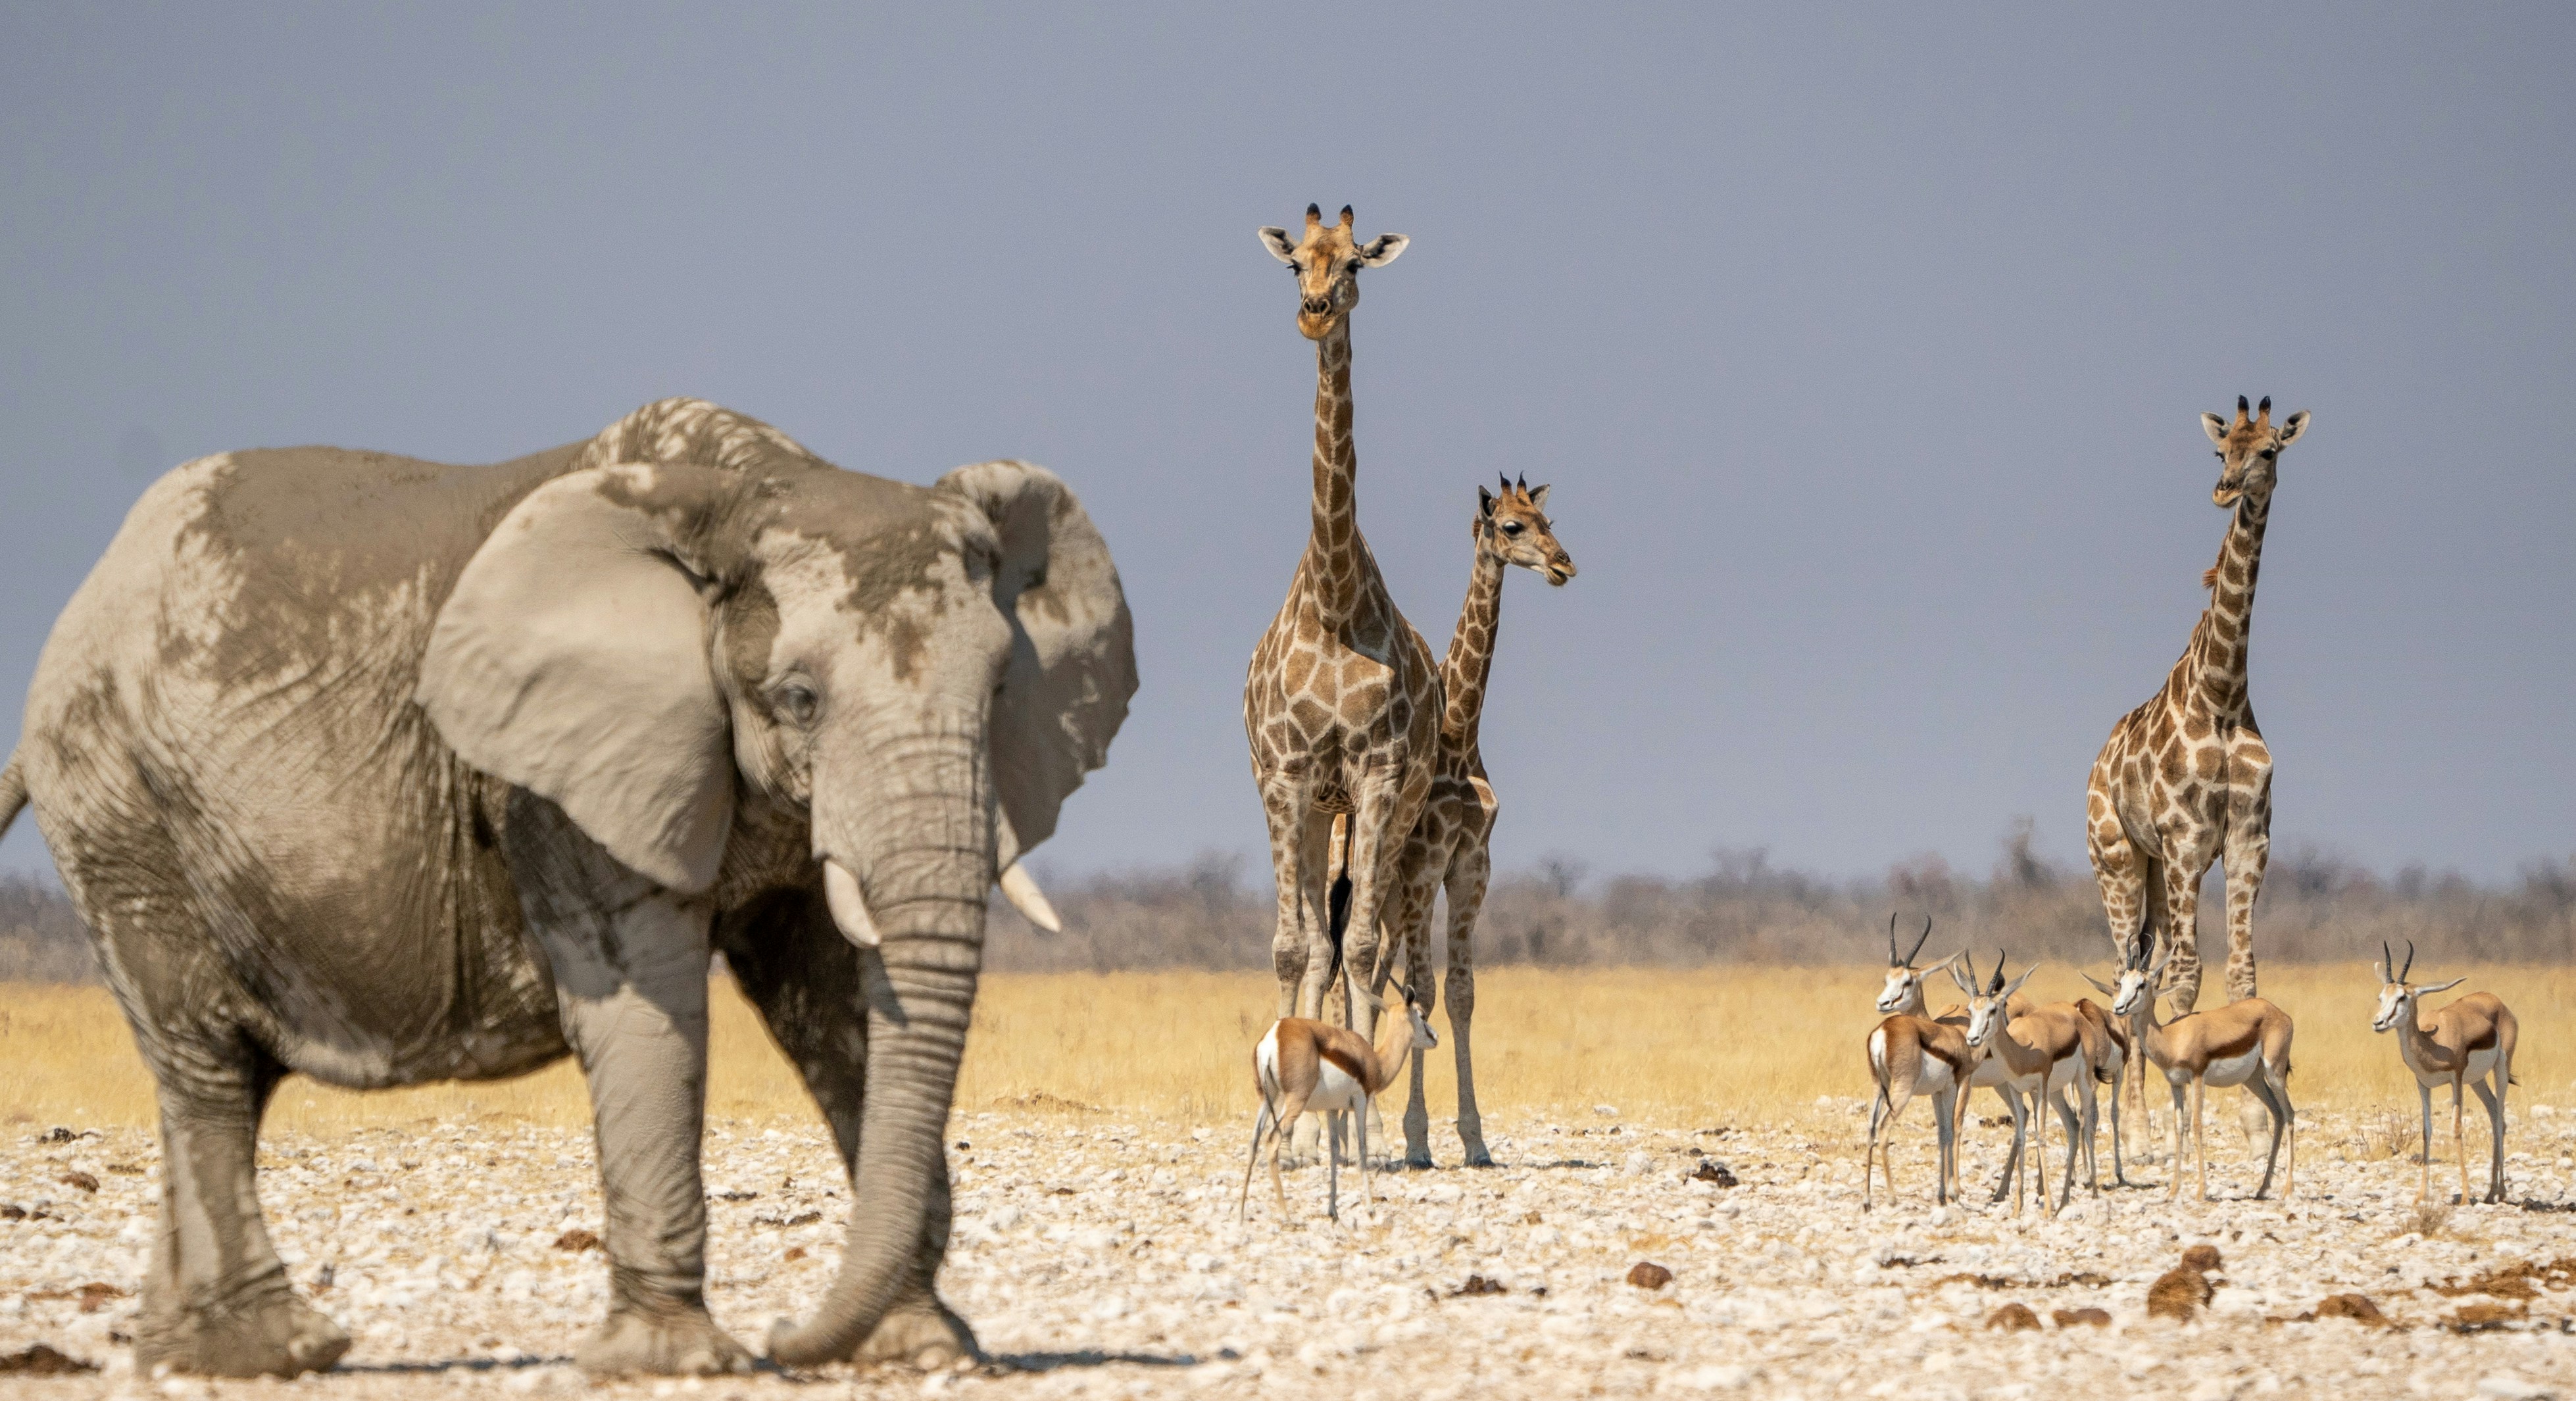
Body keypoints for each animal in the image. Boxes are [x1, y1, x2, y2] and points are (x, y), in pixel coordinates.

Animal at [0, 398, 1136, 1377]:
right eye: (800, 698)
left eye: (1001, 688)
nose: (788, 1332)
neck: (754, 491)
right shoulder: (556, 777)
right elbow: (650, 1001)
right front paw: (680, 1362)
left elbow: (836, 1002)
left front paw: (920, 1347)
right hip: (116, 801)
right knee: (207, 1057)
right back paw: (278, 1350)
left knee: (230, 1067)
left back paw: (181, 1353)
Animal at [1359, 476, 1575, 1168]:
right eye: (1510, 526)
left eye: (1548, 520)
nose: (1564, 566)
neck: (1460, 733)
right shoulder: (1426, 867)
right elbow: (1424, 993)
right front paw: (1418, 1139)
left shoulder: (1471, 866)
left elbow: (1459, 993)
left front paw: (1475, 1140)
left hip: (1393, 903)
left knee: (1373, 976)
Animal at [2087, 395, 2311, 1018]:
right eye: (2220, 450)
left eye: (2269, 451)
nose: (2225, 489)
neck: (2223, 695)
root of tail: (2097, 764)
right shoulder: (2185, 840)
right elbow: (2188, 977)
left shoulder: (2247, 841)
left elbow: (2240, 974)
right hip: (2117, 857)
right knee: (2125, 969)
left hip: (2156, 867)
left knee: (2145, 966)